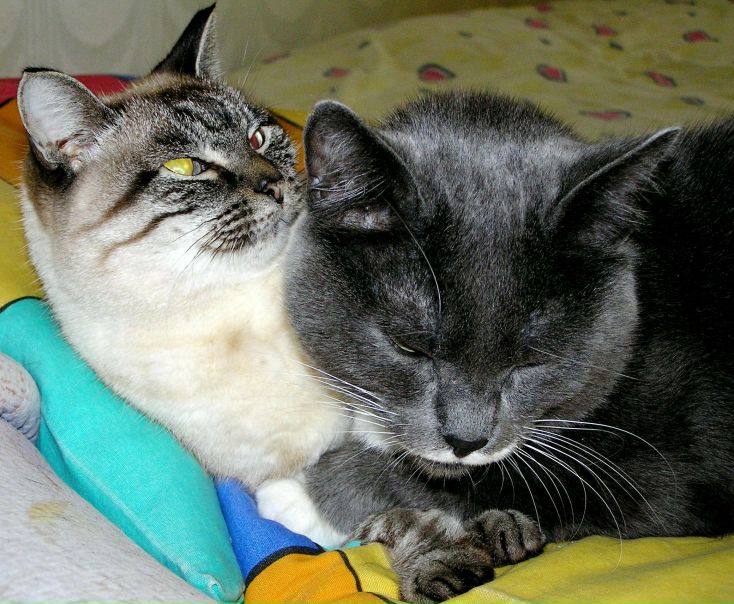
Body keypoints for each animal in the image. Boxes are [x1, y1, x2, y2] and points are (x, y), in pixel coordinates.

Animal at [274, 92, 734, 602]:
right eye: (409, 347)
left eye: (531, 361)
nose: (466, 440)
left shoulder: (667, 468)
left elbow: (505, 484)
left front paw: (301, 494)